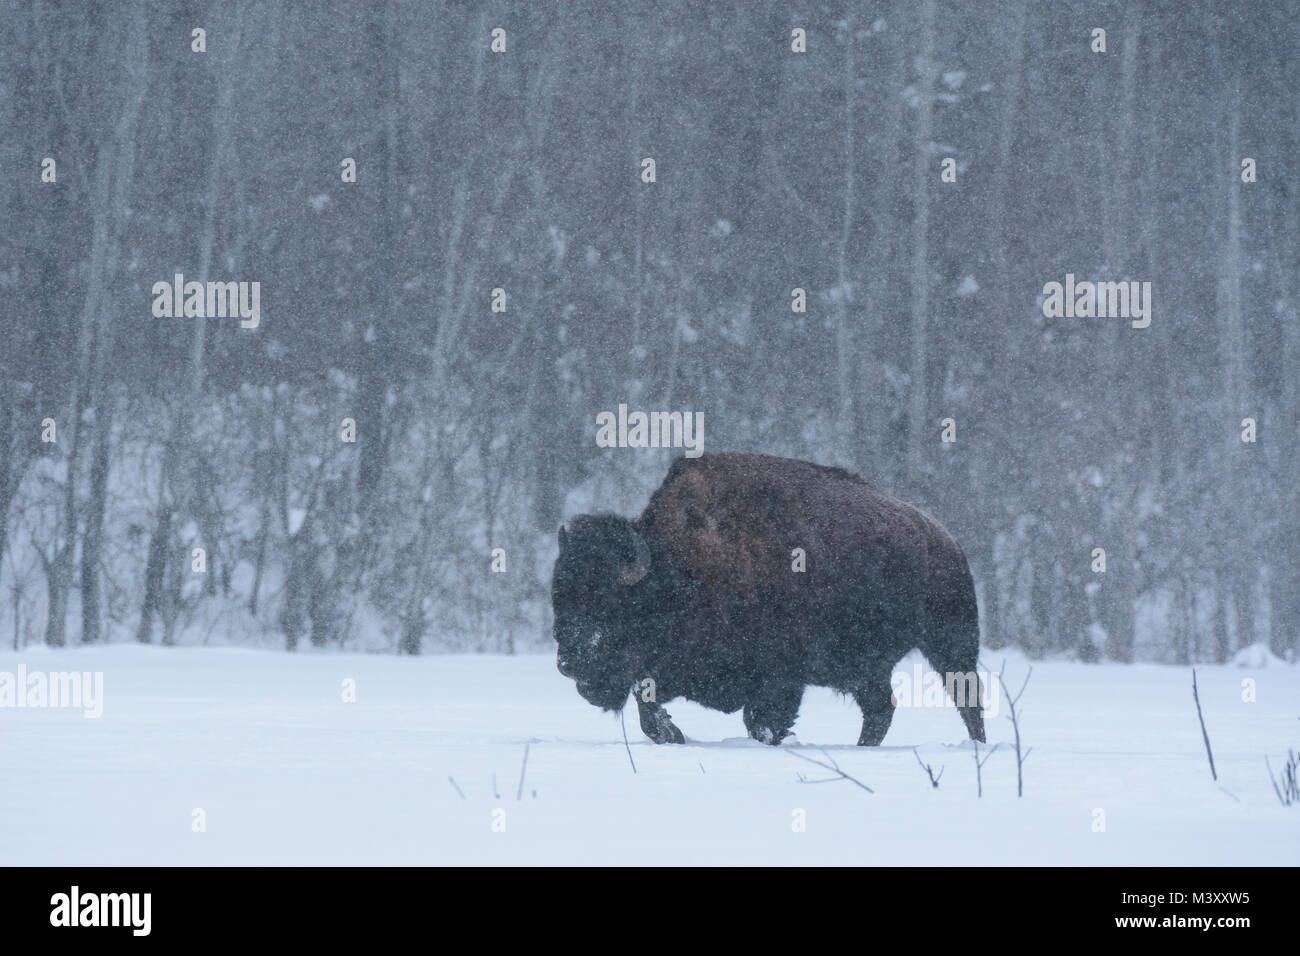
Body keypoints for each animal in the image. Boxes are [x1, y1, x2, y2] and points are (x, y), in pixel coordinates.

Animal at [551, 452, 985, 746]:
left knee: (968, 699)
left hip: (950, 642)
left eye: (607, 603)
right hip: (869, 669)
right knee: (881, 709)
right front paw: (674, 734)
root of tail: (946, 539)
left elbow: (761, 722)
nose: (568, 663)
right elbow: (647, 708)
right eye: (559, 599)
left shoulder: (780, 678)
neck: (675, 572)